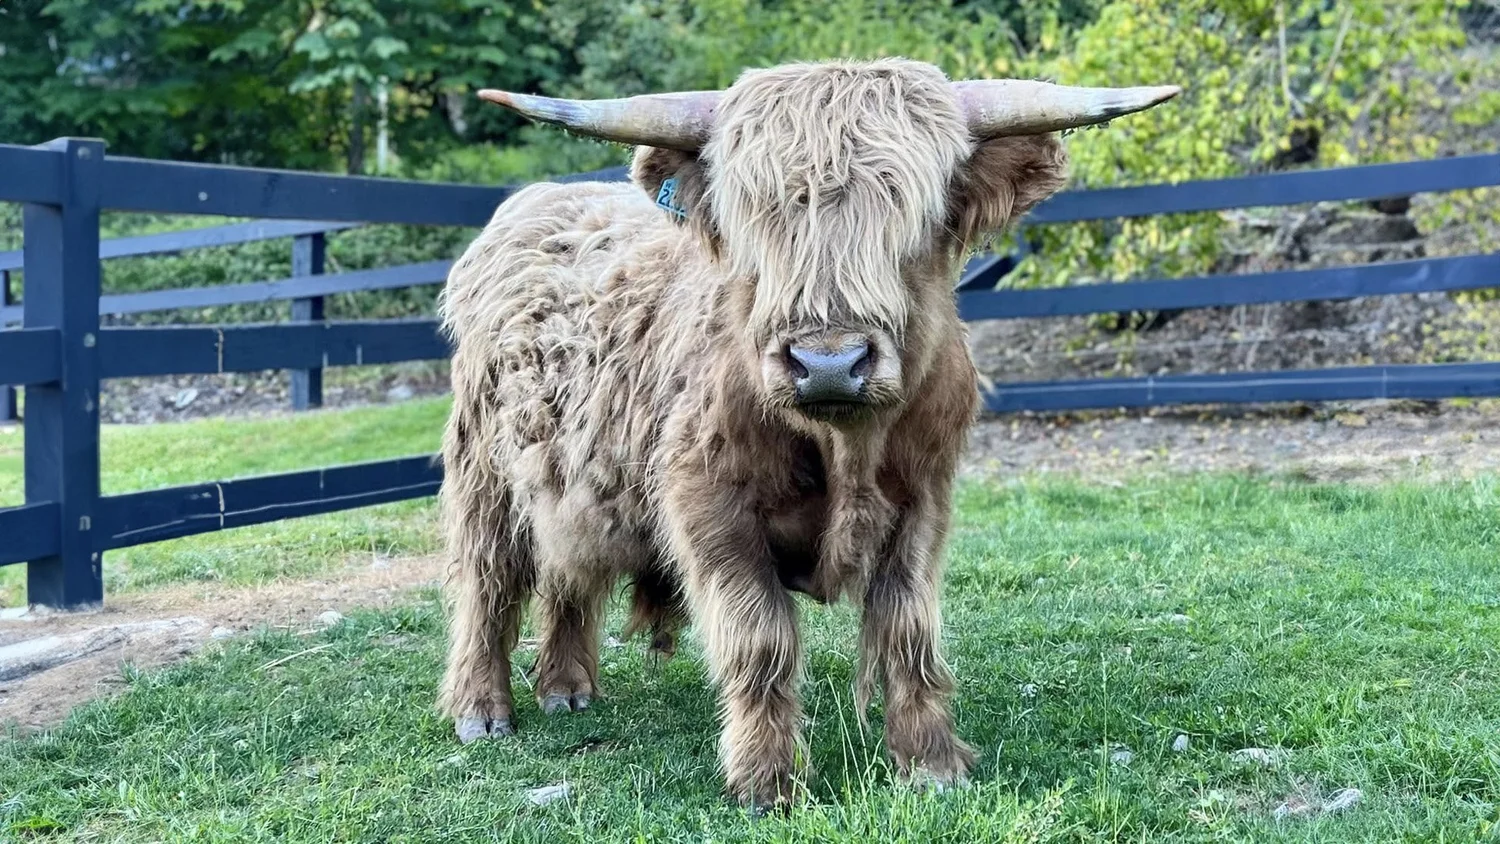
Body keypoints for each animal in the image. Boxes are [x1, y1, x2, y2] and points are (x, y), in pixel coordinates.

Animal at [436, 58, 1177, 808]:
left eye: (915, 215)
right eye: (754, 219)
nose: (828, 364)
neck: (848, 448)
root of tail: (538, 203)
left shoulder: (924, 501)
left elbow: (908, 631)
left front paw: (930, 763)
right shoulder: (712, 507)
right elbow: (760, 639)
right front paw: (767, 781)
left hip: (566, 480)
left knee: (567, 570)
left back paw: (567, 687)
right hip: (484, 471)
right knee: (488, 580)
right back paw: (482, 710)